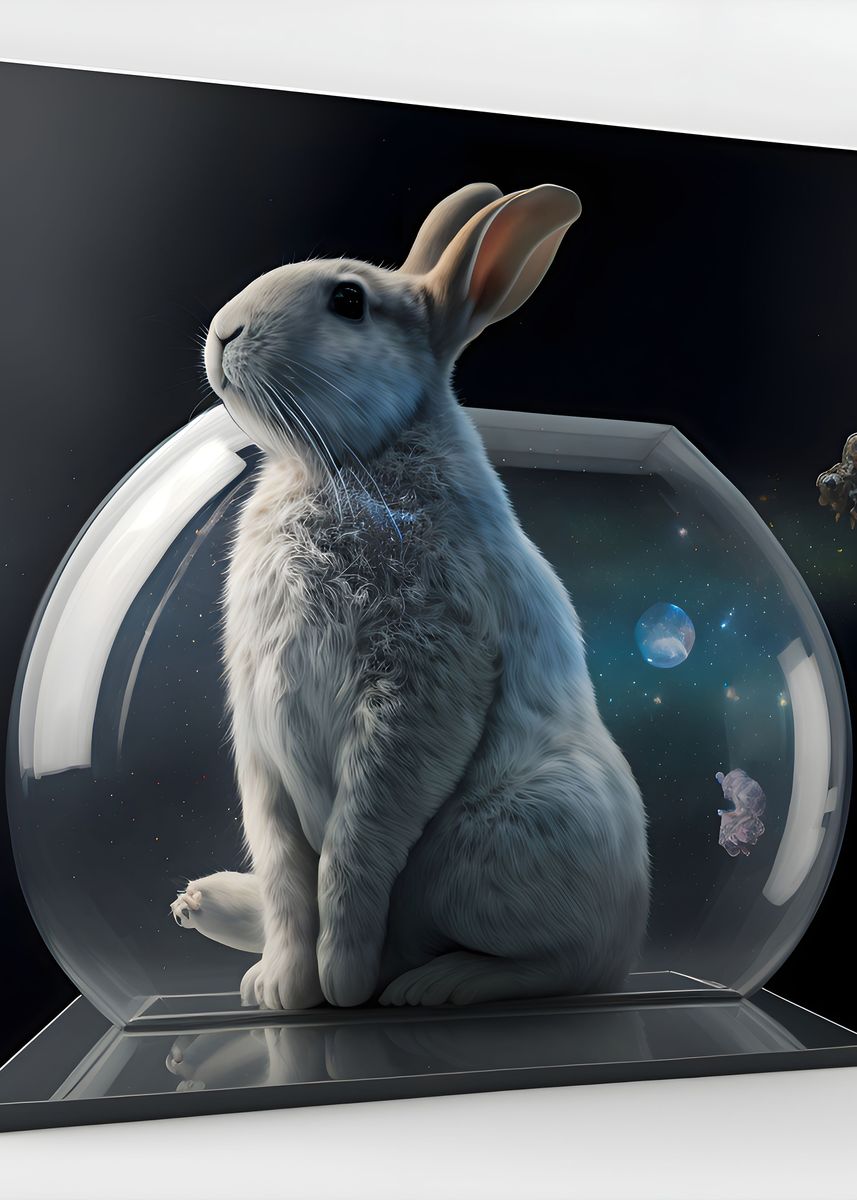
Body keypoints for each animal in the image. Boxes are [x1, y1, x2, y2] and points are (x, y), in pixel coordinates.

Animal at [182, 182, 650, 1010]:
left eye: (348, 300)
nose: (223, 332)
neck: (339, 461)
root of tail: (632, 933)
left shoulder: (417, 683)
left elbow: (353, 850)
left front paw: (338, 980)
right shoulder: (260, 736)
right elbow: (286, 871)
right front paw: (283, 991)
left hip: (503, 840)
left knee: (566, 966)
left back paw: (429, 983)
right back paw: (203, 903)